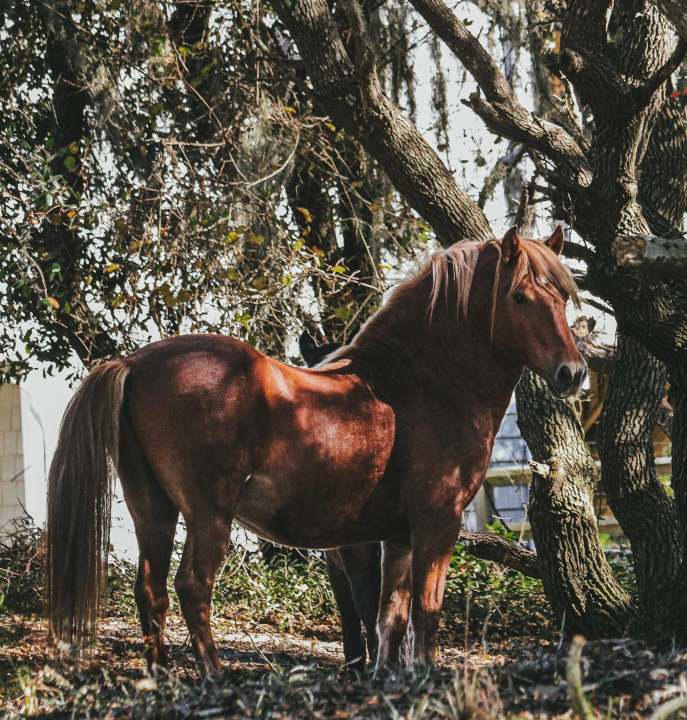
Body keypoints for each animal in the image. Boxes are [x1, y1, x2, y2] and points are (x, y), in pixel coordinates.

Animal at [46, 226, 585, 677]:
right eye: (520, 296)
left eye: (561, 296)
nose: (572, 373)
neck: (423, 383)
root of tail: (134, 362)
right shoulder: (437, 520)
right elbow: (424, 612)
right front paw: (423, 675)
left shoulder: (396, 537)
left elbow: (389, 616)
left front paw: (386, 676)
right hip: (207, 514)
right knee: (192, 587)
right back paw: (214, 676)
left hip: (152, 509)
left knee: (151, 591)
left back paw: (159, 677)